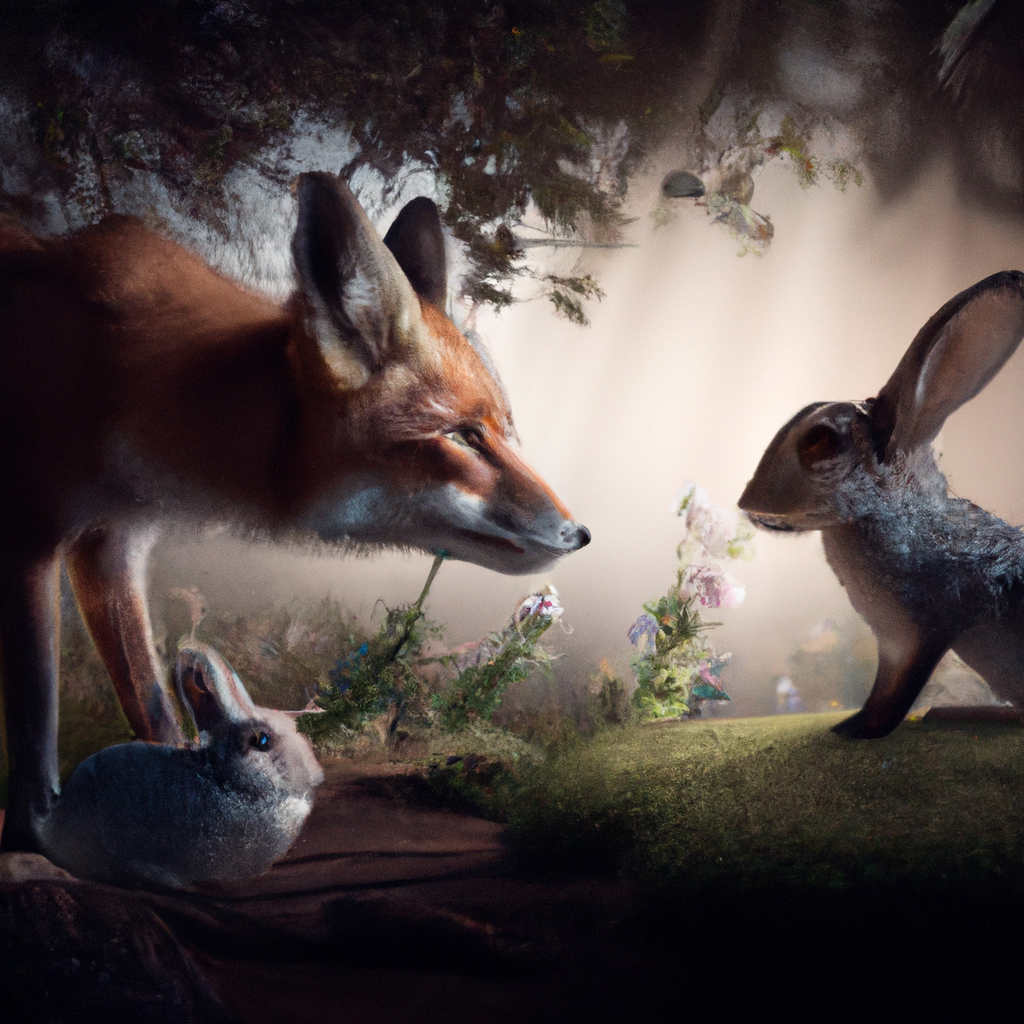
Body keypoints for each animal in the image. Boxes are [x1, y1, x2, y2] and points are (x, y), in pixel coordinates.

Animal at [0, 172, 590, 853]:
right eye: (464, 436)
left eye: (503, 429)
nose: (580, 533)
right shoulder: (31, 535)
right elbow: (34, 714)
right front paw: (30, 833)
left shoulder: (113, 546)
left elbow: (153, 704)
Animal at [739, 270, 1024, 739]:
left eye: (820, 441)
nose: (748, 503)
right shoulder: (895, 643)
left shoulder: (919, 636)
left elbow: (891, 698)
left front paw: (853, 731)